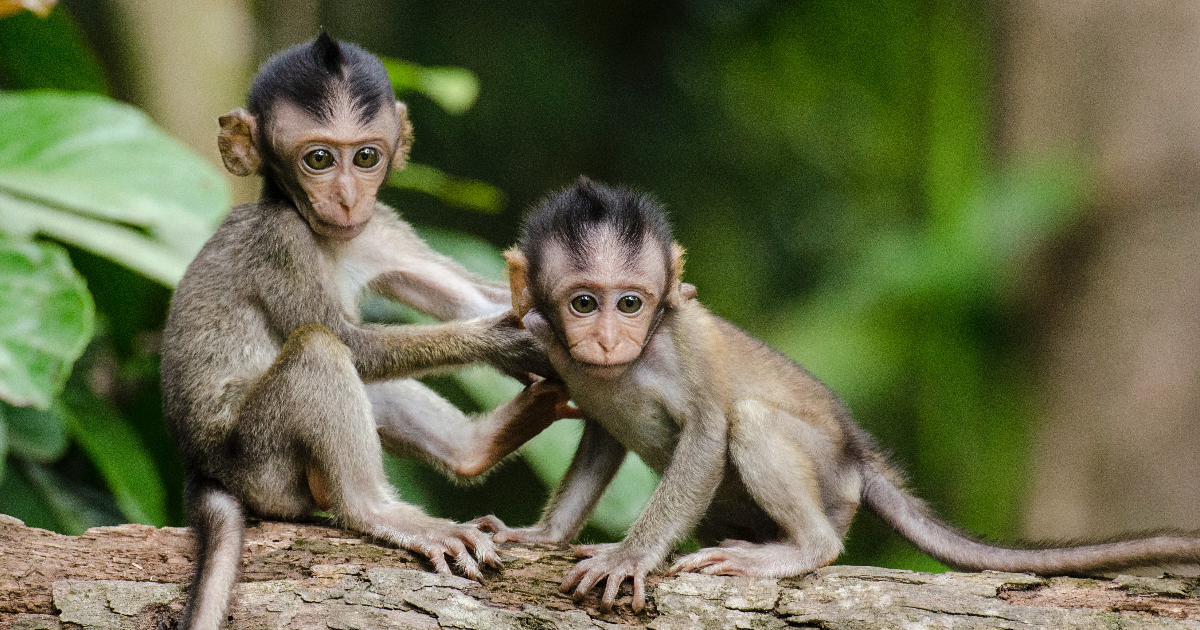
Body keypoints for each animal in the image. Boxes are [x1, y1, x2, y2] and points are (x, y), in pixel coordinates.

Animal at [161, 34, 570, 630]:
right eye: (318, 159)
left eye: (366, 156)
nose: (349, 198)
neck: (326, 236)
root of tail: (202, 471)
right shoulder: (281, 242)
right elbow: (349, 341)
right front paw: (504, 341)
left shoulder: (381, 228)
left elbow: (473, 298)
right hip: (261, 465)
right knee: (319, 348)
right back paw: (376, 511)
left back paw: (475, 447)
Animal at [473, 177, 1200, 613]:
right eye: (584, 303)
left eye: (631, 303)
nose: (606, 339)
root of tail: (857, 454)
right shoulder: (556, 351)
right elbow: (599, 436)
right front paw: (542, 535)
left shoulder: (680, 343)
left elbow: (708, 431)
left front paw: (629, 556)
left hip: (829, 478)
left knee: (753, 423)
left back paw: (804, 548)